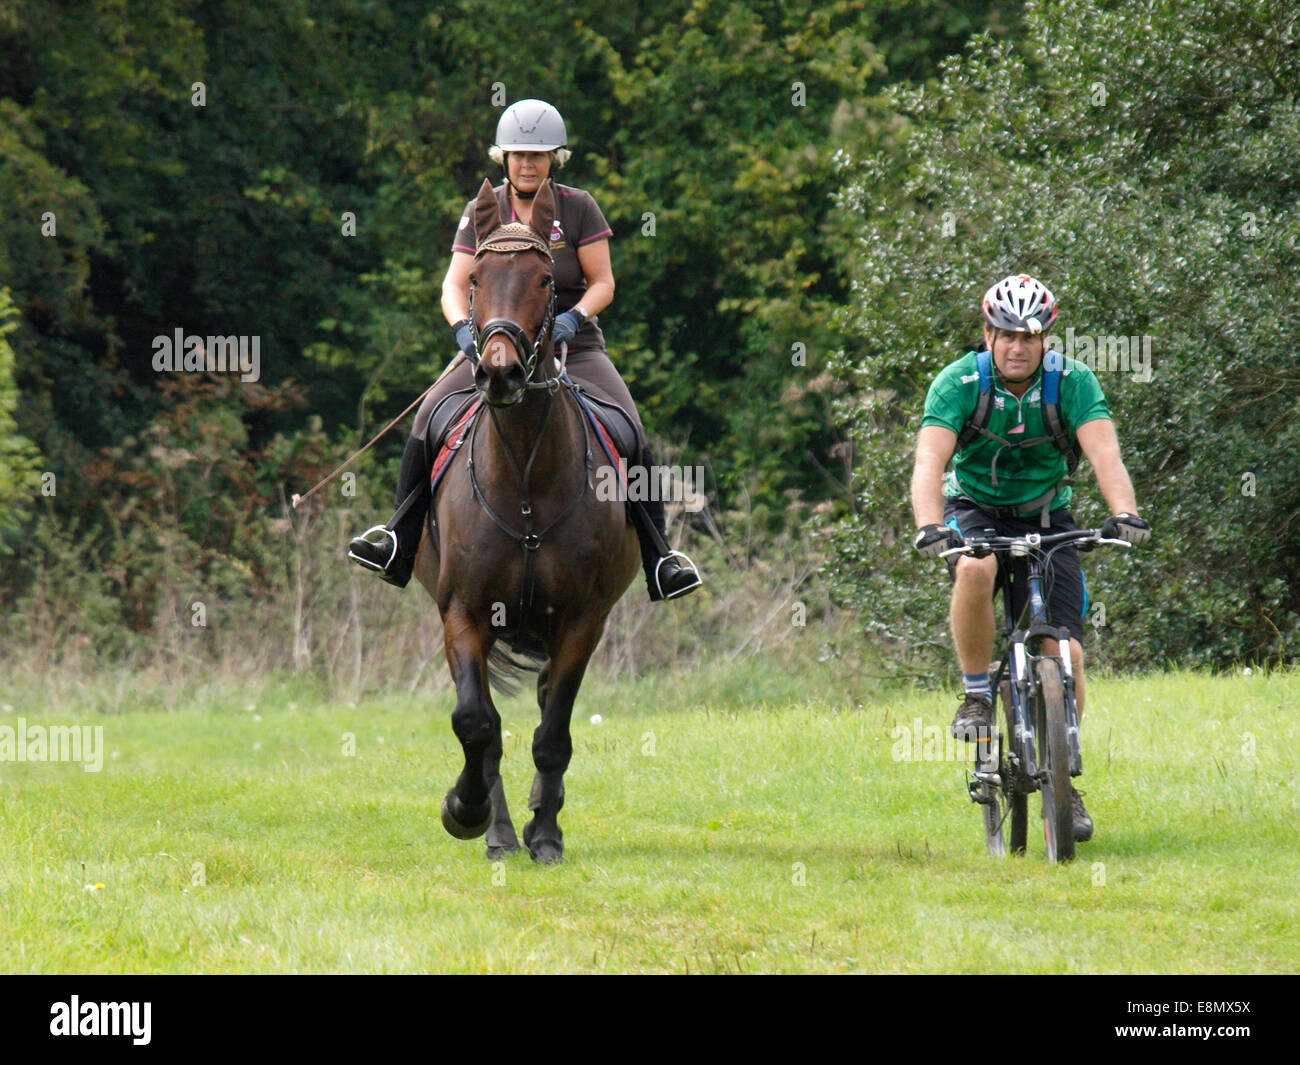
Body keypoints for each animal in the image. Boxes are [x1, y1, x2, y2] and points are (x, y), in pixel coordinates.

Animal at [412, 179, 640, 864]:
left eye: (544, 279)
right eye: (476, 277)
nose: (499, 372)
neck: (525, 481)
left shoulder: (582, 620)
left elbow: (553, 731)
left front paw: (546, 835)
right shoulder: (462, 613)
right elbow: (476, 724)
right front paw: (466, 812)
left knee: (543, 708)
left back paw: (540, 819)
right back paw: (498, 831)